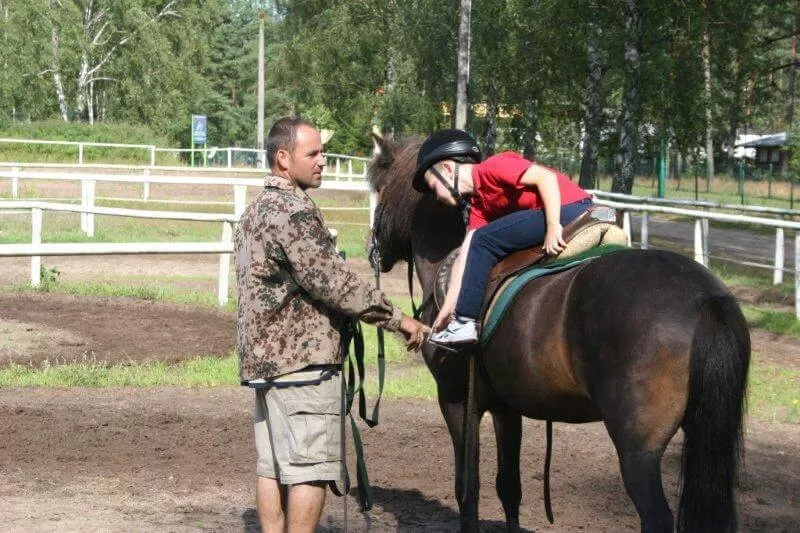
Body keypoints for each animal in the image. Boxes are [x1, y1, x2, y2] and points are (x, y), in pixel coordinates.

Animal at [366, 136, 752, 532]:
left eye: (378, 189)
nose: (372, 250)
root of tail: (705, 296)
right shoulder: (507, 408)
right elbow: (509, 487)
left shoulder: (457, 400)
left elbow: (467, 488)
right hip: (705, 435)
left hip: (638, 451)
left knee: (656, 517)